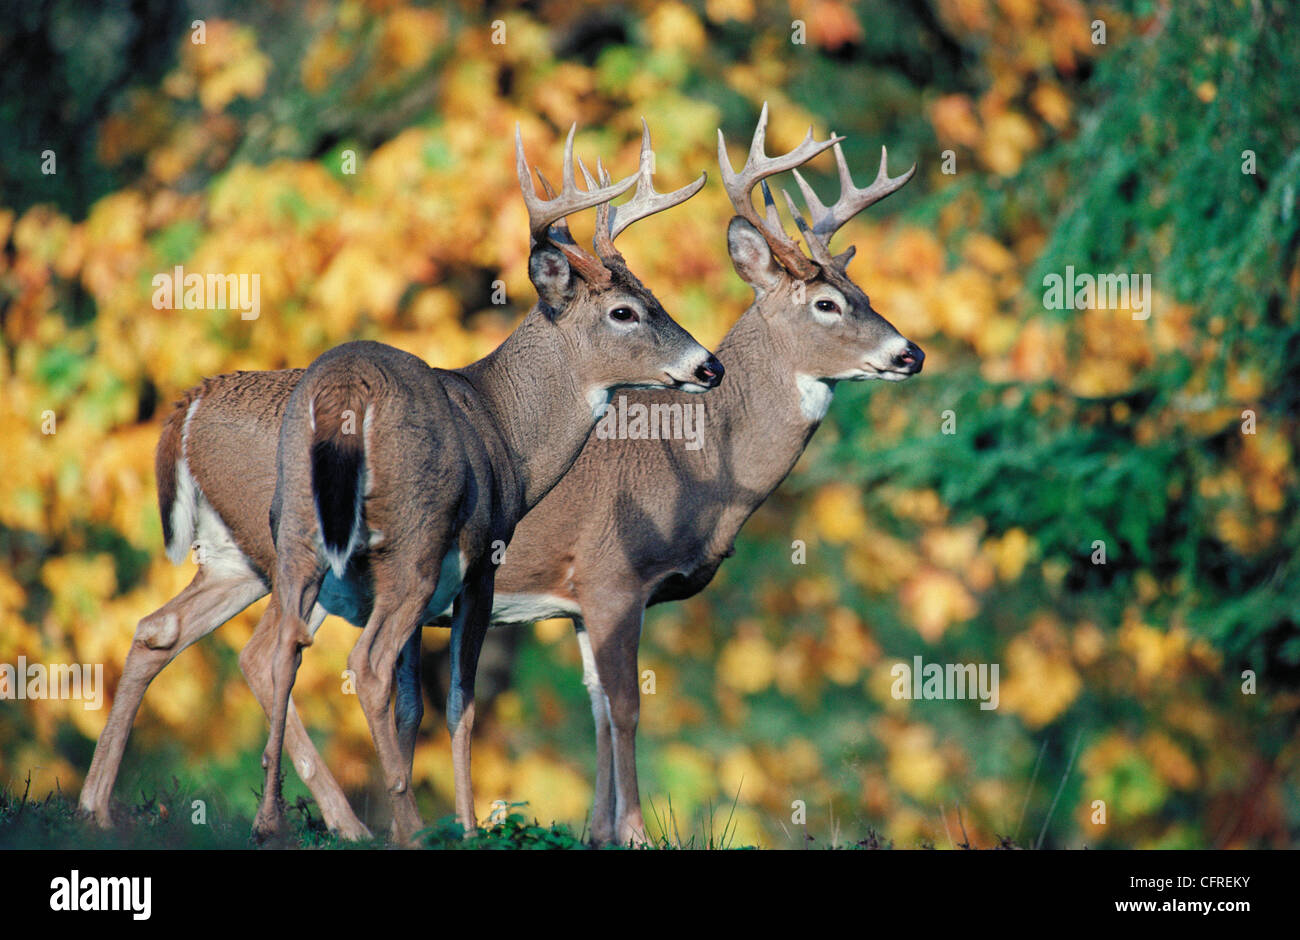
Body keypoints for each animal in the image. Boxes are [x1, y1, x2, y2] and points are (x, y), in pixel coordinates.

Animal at [80, 106, 921, 846]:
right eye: (828, 303)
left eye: (865, 295)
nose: (909, 351)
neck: (704, 465)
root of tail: (191, 404)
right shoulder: (611, 575)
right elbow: (620, 706)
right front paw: (633, 834)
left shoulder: (576, 600)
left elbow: (591, 706)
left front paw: (596, 831)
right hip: (329, 554)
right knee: (278, 657)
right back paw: (350, 825)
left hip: (245, 555)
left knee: (177, 635)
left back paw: (110, 808)